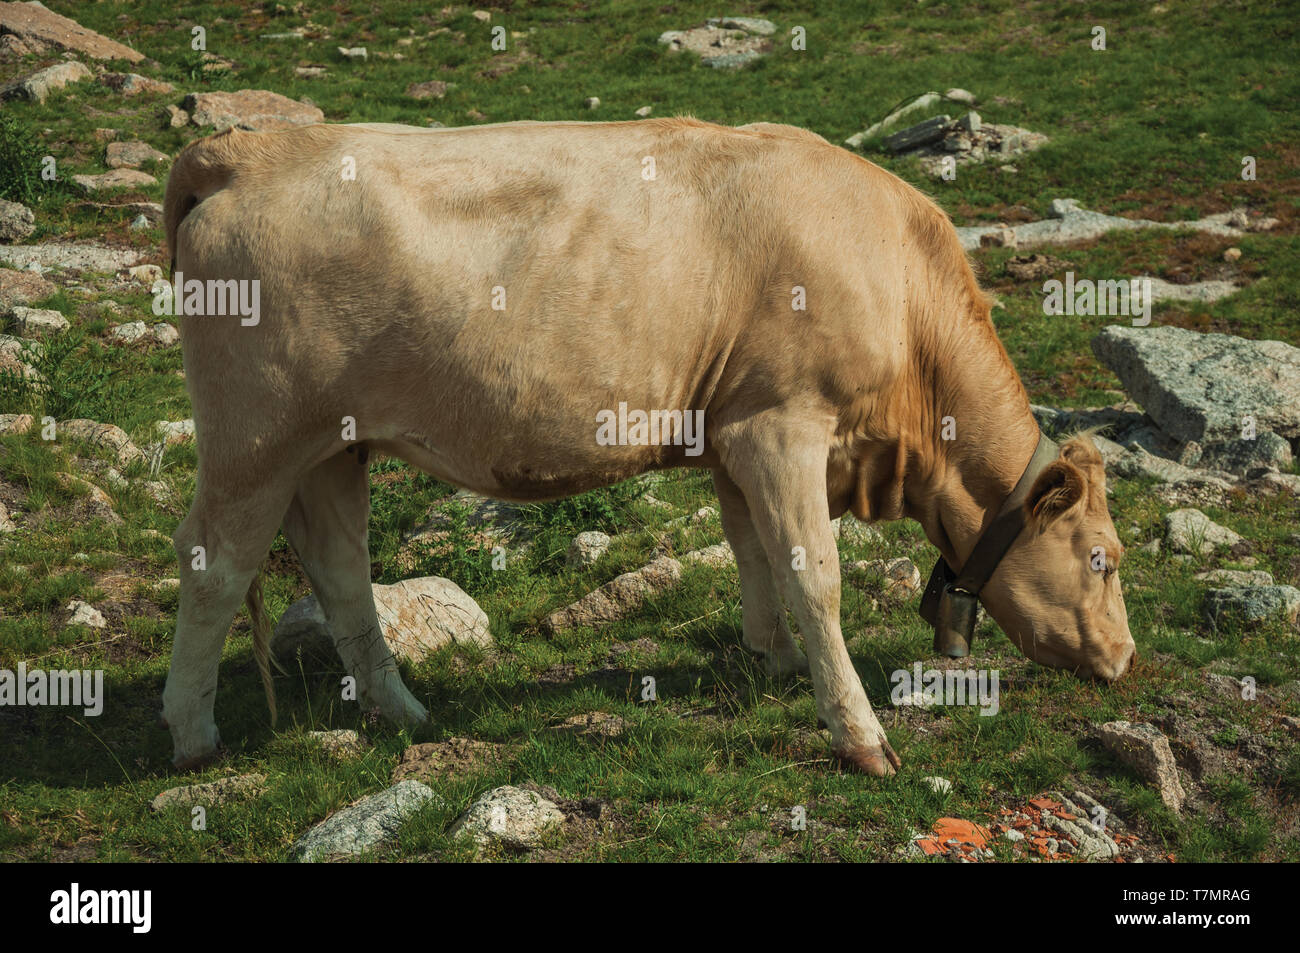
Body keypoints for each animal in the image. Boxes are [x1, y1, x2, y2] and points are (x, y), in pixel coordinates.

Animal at [160, 117, 1136, 774]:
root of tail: (250, 148)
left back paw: (403, 710)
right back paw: (193, 736)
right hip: (255, 438)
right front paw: (860, 734)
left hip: (331, 445)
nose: (1126, 658)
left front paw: (775, 659)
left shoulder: (733, 434)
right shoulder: (782, 425)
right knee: (215, 564)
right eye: (1103, 558)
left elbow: (753, 552)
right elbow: (815, 575)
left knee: (339, 567)